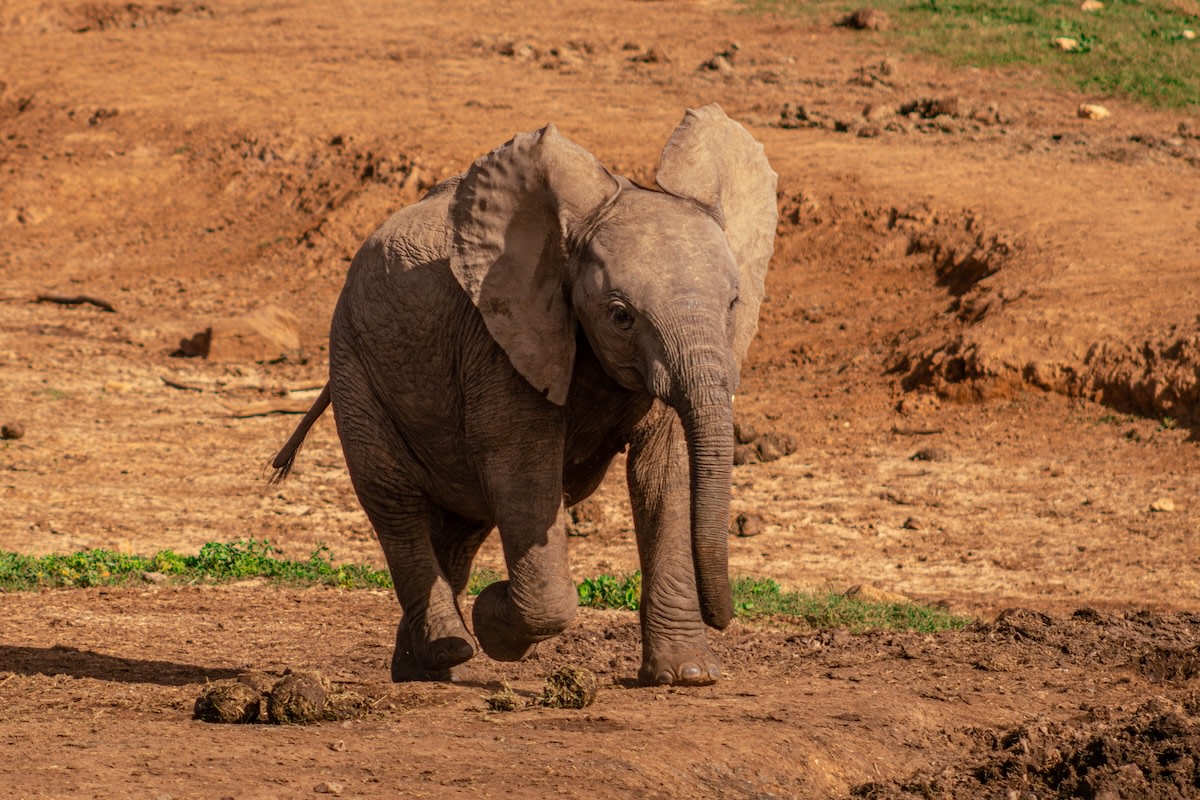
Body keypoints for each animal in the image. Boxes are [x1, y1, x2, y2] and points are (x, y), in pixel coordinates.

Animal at [271, 104, 777, 686]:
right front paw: (494, 618)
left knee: (460, 522)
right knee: (395, 501)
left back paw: (422, 666)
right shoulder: (500, 337)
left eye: (734, 304)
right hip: (353, 364)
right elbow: (523, 470)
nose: (725, 616)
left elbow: (665, 473)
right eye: (620, 316)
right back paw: (451, 649)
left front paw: (688, 675)